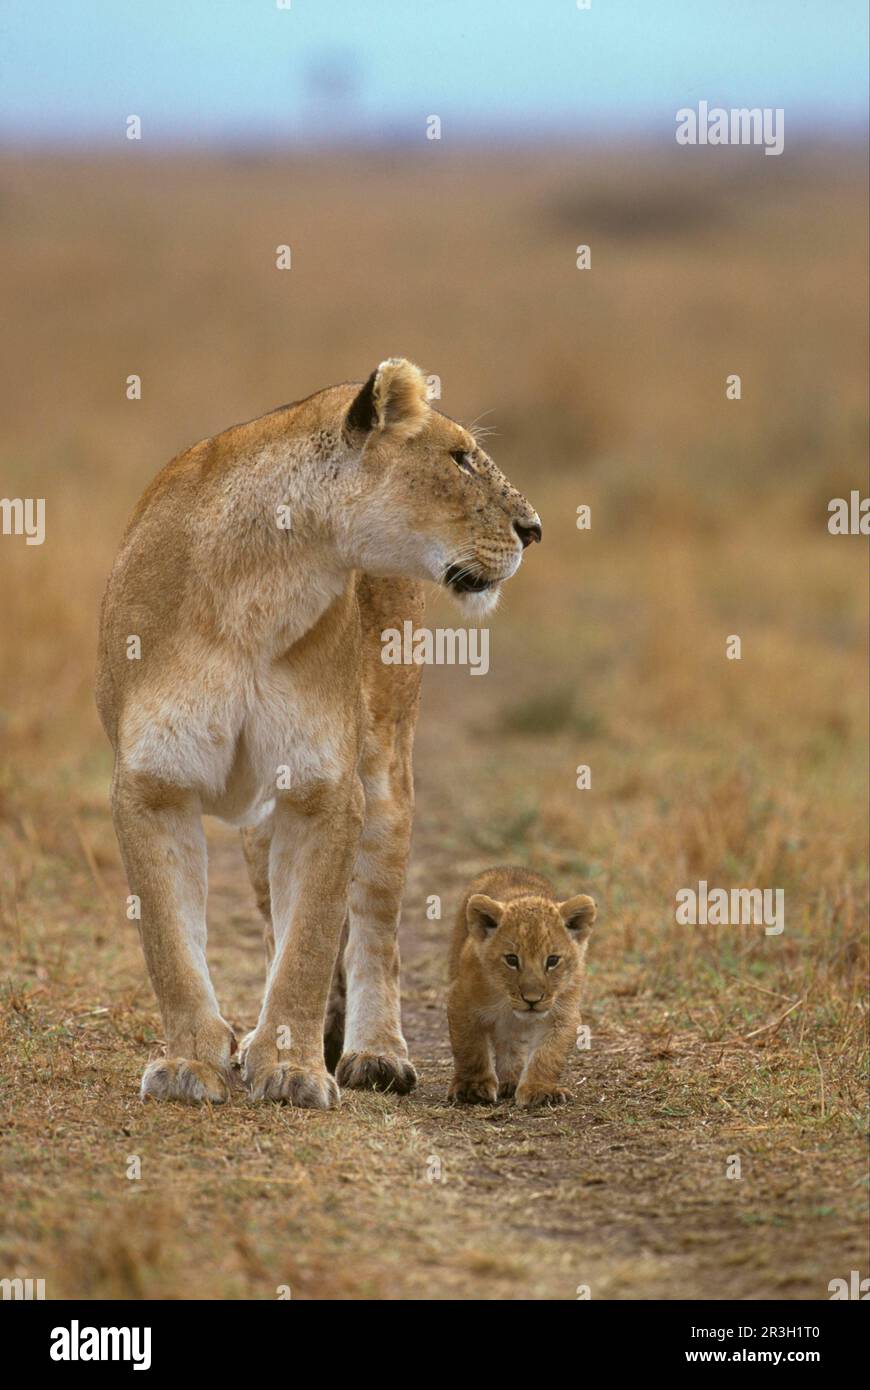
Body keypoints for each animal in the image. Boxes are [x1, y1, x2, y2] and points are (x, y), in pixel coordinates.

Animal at [96, 359, 541, 1108]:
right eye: (458, 458)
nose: (534, 528)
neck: (259, 586)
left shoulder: (324, 788)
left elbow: (310, 942)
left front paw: (293, 1068)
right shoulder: (154, 781)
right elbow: (171, 942)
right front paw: (190, 1063)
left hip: (387, 776)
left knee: (375, 932)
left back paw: (374, 1053)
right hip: (260, 822)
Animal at [447, 867, 596, 1108]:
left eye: (552, 960)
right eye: (511, 959)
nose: (532, 999)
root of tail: (510, 868)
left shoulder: (563, 1013)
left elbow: (548, 1054)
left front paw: (540, 1090)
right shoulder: (461, 1002)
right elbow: (470, 1049)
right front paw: (473, 1087)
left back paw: (510, 1080)